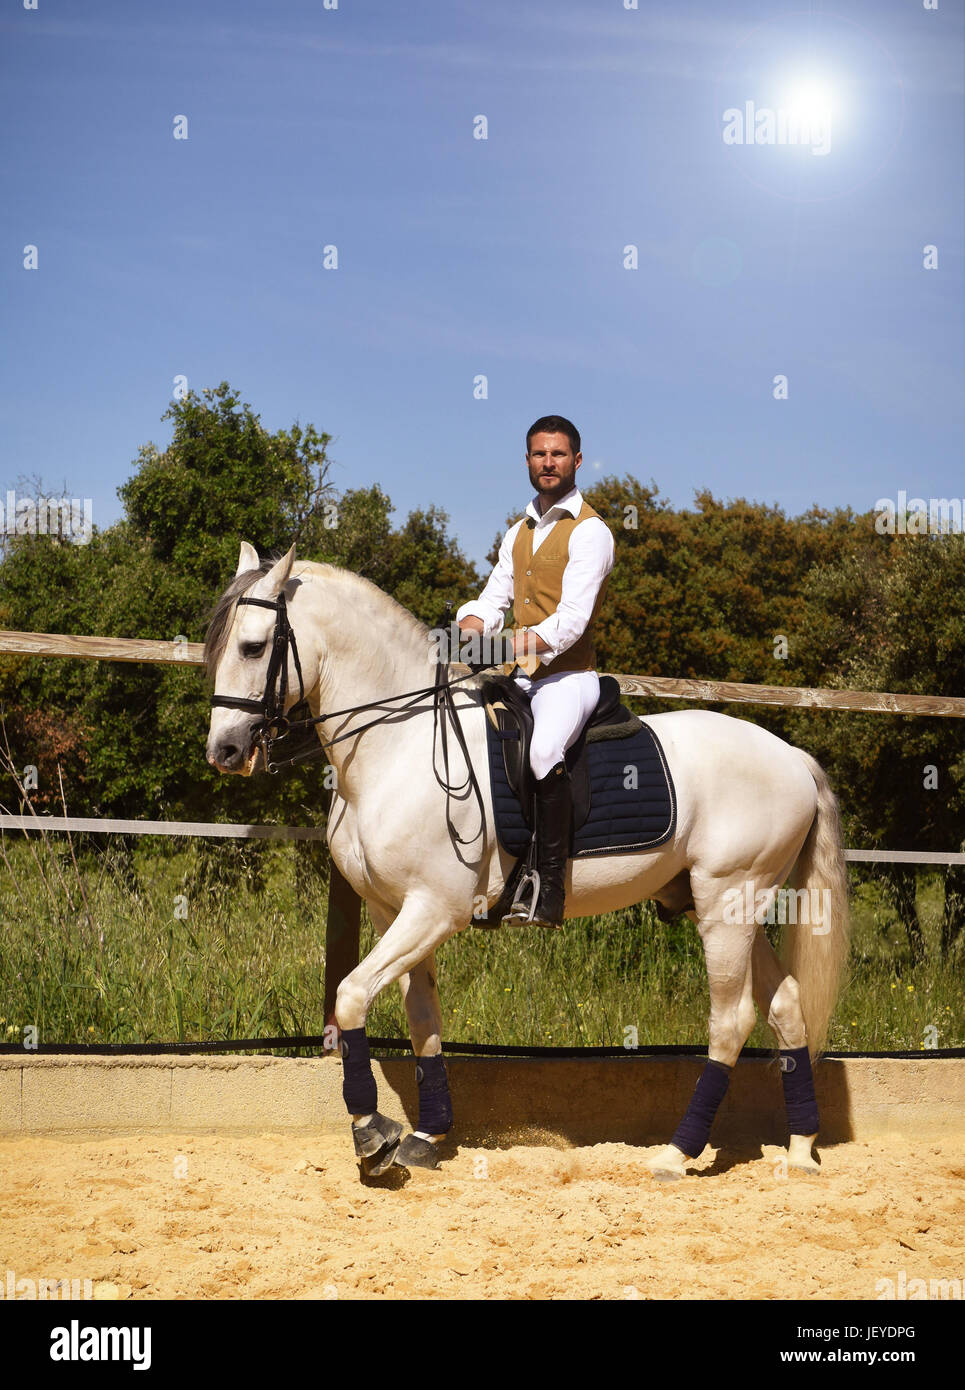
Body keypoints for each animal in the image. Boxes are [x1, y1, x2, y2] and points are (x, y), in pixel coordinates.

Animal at [205, 543, 850, 1180]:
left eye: (253, 646)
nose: (225, 752)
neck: (399, 746)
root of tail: (791, 756)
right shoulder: (396, 913)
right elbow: (421, 1017)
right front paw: (425, 1135)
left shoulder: (435, 910)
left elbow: (351, 995)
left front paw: (372, 1134)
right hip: (724, 905)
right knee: (786, 1005)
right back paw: (800, 1149)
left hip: (727, 901)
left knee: (731, 1020)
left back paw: (677, 1153)